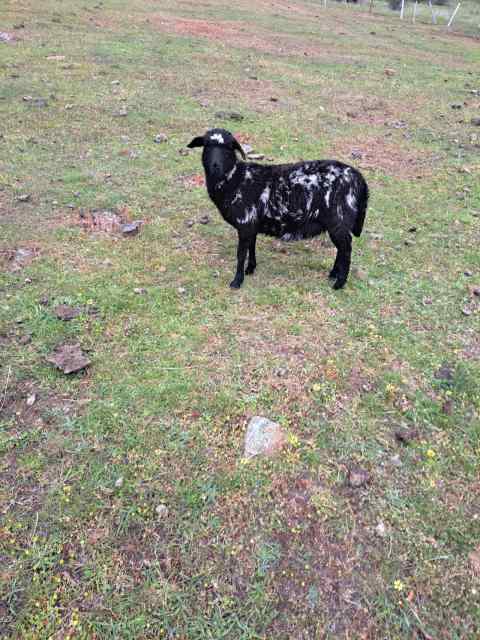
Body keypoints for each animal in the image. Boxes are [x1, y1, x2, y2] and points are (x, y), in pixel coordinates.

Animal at [187, 128, 369, 290]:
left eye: (229, 147)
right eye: (206, 145)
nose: (215, 165)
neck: (234, 180)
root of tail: (359, 179)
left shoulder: (245, 222)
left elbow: (240, 254)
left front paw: (237, 281)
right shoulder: (252, 224)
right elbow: (251, 247)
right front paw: (250, 269)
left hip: (339, 219)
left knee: (346, 250)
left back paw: (339, 283)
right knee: (342, 249)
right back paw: (333, 275)